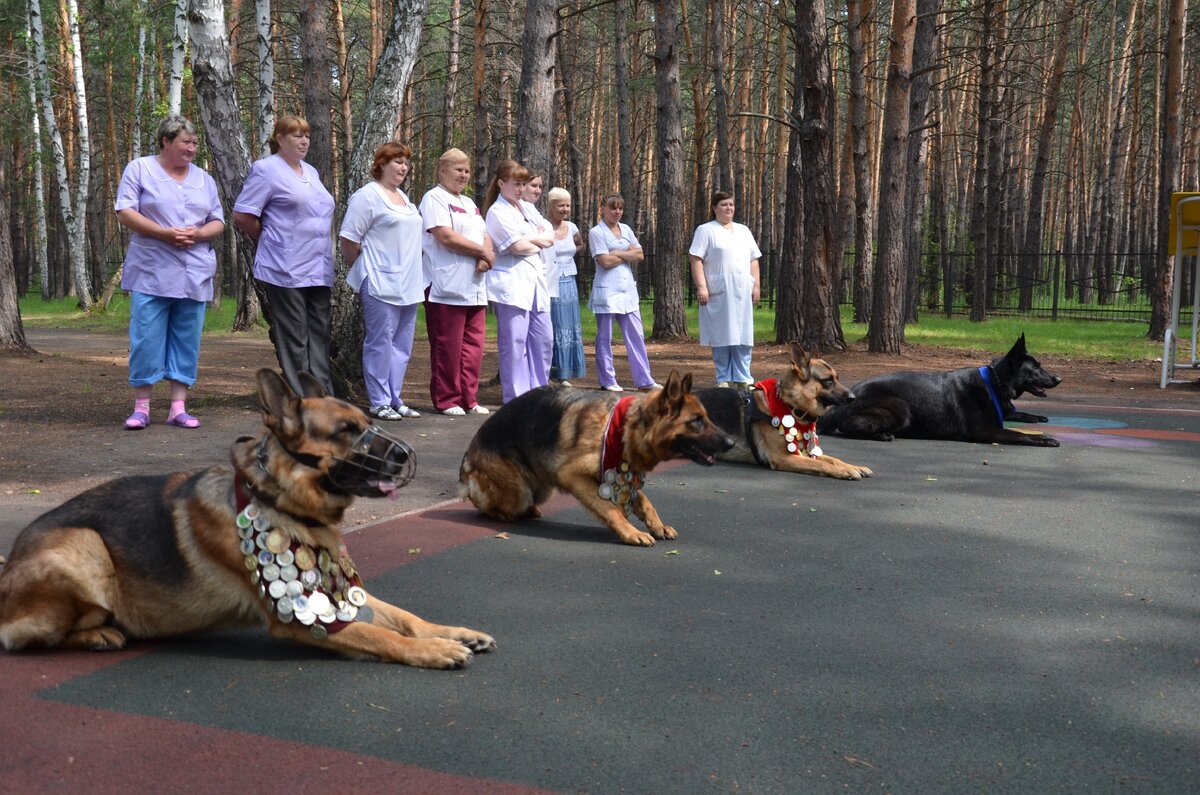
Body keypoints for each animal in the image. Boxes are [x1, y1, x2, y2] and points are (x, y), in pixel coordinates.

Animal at [0, 369, 492, 667]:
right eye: (346, 432)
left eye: (364, 421)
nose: (407, 456)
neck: (281, 503)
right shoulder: (304, 618)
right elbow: (383, 637)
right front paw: (434, 650)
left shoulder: (341, 596)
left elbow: (406, 617)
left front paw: (452, 633)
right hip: (84, 546)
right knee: (24, 636)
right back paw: (98, 634)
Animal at [458, 374, 734, 547]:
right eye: (696, 420)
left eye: (706, 417)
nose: (732, 442)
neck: (624, 427)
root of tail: (467, 458)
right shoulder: (572, 475)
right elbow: (610, 510)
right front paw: (631, 533)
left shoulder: (620, 476)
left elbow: (644, 502)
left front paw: (658, 526)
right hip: (518, 492)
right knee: (490, 504)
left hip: (541, 488)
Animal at [696, 343, 873, 480]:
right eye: (828, 381)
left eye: (837, 378)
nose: (853, 397)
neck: (790, 406)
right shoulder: (784, 457)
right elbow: (820, 463)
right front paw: (843, 471)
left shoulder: (804, 451)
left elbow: (832, 458)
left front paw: (853, 466)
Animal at [816, 333, 1060, 449]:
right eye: (1036, 368)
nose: (1059, 378)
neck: (995, 382)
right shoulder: (985, 431)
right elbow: (1019, 434)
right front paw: (1044, 439)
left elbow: (1017, 413)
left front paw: (1036, 417)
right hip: (902, 407)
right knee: (848, 427)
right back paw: (882, 435)